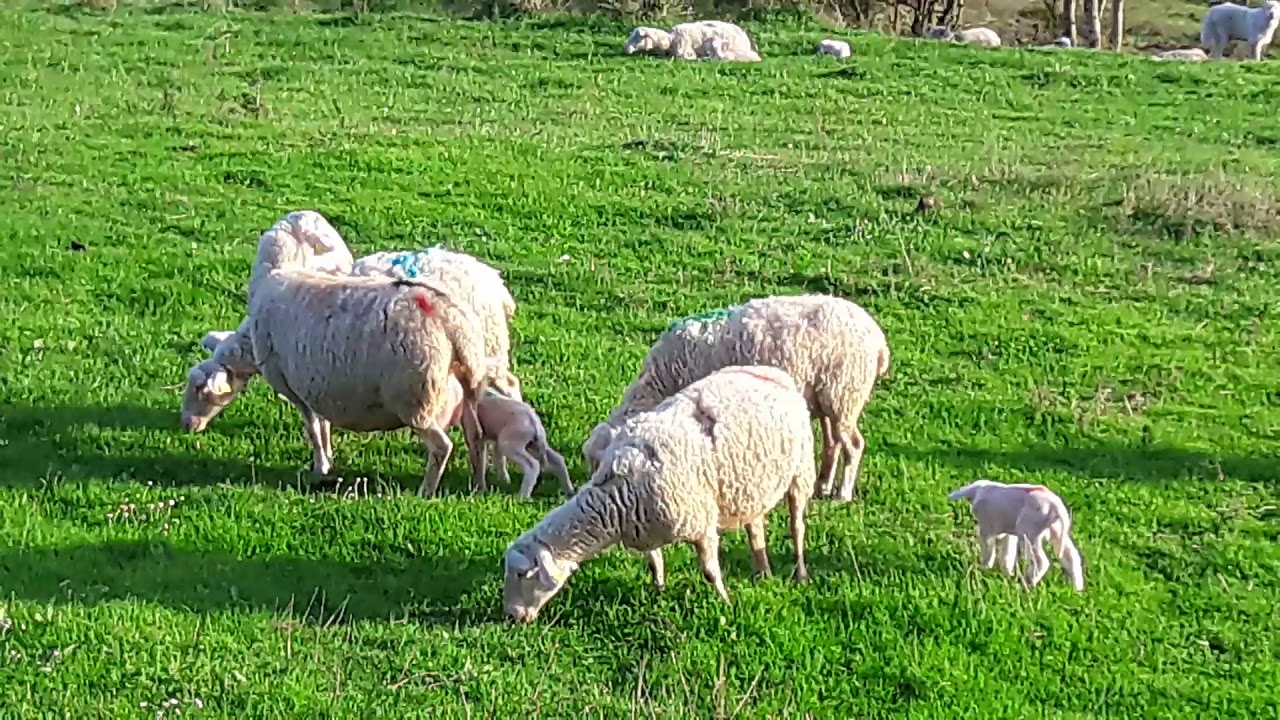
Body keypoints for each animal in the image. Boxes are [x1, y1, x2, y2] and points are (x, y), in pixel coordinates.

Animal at [434, 375, 574, 499]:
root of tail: (534, 423)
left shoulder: (476, 432)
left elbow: (481, 460)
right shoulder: (493, 437)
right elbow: (498, 459)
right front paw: (504, 481)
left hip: (510, 444)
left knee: (533, 465)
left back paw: (522, 497)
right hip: (534, 445)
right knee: (558, 459)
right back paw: (569, 490)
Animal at [503, 365, 816, 623]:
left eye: (521, 574)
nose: (511, 616)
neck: (615, 498)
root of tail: (773, 372)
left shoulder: (701, 523)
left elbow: (710, 571)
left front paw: (725, 603)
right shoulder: (645, 528)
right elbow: (654, 562)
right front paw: (659, 590)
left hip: (801, 471)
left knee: (797, 526)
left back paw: (800, 573)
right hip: (751, 488)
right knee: (756, 528)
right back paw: (763, 573)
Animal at [582, 294, 890, 503]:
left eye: (599, 464)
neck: (661, 379)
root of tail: (878, 341)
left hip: (845, 393)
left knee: (853, 445)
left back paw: (842, 493)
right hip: (829, 398)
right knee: (833, 442)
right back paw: (823, 485)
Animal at [948, 479, 1085, 592]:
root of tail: (1055, 506)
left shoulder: (986, 530)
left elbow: (989, 552)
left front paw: (985, 569)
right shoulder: (1009, 534)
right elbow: (1007, 555)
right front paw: (1007, 575)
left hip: (1030, 532)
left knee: (1041, 562)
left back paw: (1029, 584)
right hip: (1057, 533)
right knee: (1072, 556)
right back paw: (1077, 590)